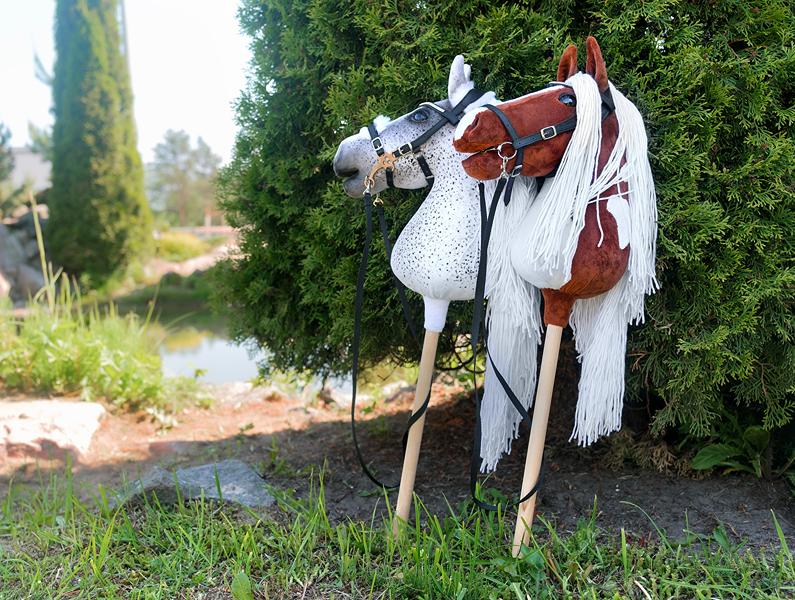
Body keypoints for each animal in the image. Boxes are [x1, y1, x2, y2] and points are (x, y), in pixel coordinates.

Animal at [332, 56, 542, 529]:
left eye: (420, 115)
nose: (341, 159)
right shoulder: (434, 303)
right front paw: (398, 530)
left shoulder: (438, 298)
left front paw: (398, 529)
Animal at [453, 36, 658, 552]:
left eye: (568, 100)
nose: (470, 127)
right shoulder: (554, 302)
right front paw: (519, 537)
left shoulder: (561, 300)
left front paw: (520, 541)